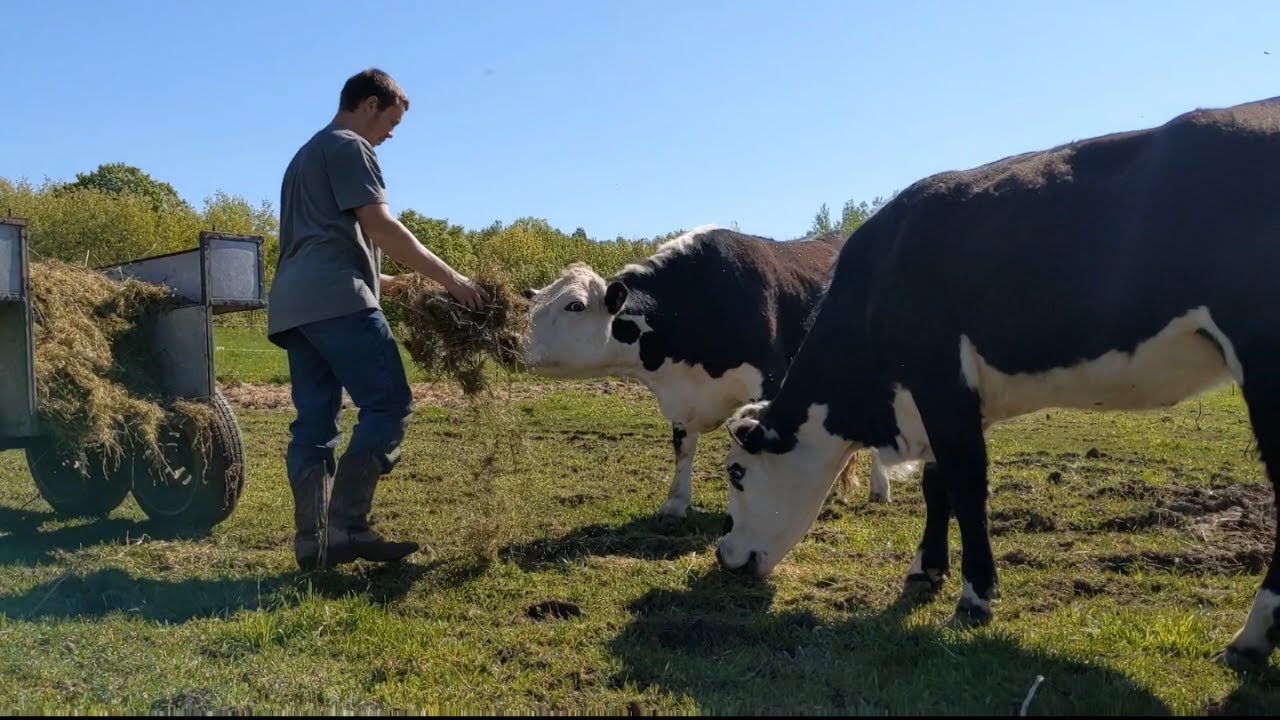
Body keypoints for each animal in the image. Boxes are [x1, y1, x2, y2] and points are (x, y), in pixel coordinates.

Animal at [521, 225, 916, 520]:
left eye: (574, 306)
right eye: (535, 304)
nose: (516, 342)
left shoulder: (770, 385)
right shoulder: (681, 400)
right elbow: (683, 449)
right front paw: (675, 504)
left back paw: (880, 488)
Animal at [714, 96, 1280, 669]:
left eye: (737, 473)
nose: (723, 555)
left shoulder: (940, 383)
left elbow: (966, 487)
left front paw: (974, 597)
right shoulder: (944, 401)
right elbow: (937, 485)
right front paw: (925, 570)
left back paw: (1250, 638)